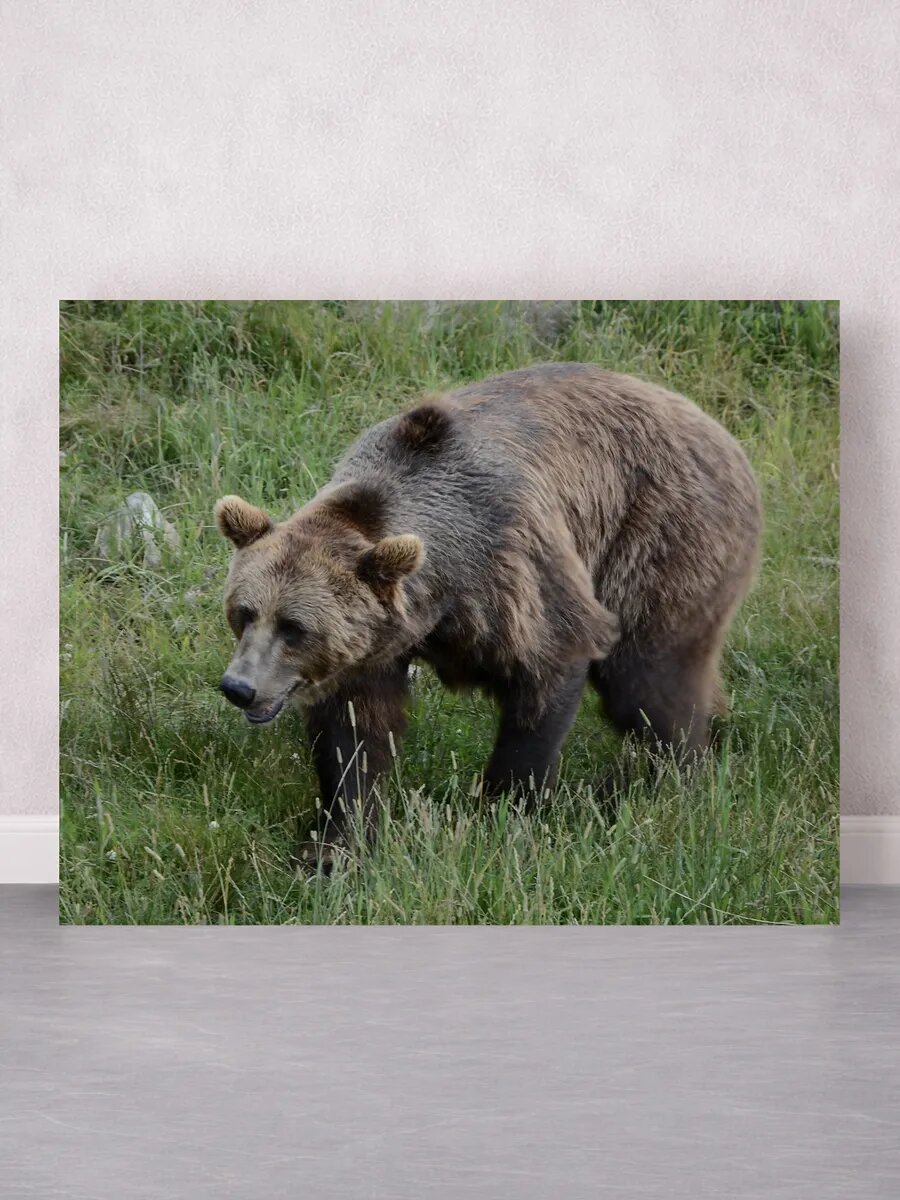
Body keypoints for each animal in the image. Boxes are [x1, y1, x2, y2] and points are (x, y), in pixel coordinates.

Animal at [214, 363, 762, 867]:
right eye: (244, 613)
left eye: (294, 627)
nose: (240, 687)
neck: (440, 596)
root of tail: (720, 431)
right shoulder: (371, 646)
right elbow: (354, 733)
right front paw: (334, 844)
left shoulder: (511, 572)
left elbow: (546, 677)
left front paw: (504, 813)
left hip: (660, 537)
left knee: (648, 680)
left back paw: (664, 779)